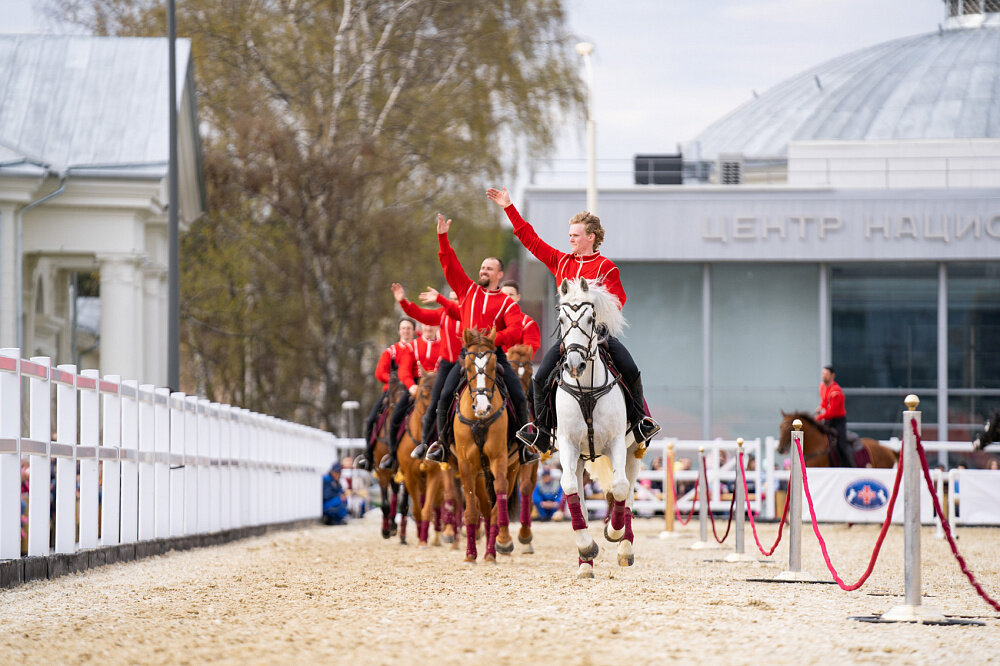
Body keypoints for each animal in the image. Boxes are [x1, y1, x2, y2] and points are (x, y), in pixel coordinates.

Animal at [452, 326, 516, 560]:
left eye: (493, 366)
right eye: (468, 367)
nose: (482, 407)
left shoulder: (499, 458)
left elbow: (500, 495)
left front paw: (504, 540)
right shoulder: (465, 465)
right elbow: (471, 510)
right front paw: (470, 554)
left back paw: (493, 549)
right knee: (485, 507)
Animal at [556, 274, 640, 576]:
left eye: (591, 318)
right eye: (561, 319)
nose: (574, 364)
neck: (587, 390)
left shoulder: (616, 443)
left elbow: (619, 487)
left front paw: (614, 533)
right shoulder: (568, 445)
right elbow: (570, 489)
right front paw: (586, 549)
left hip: (633, 451)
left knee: (628, 490)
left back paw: (625, 547)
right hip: (580, 459)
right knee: (579, 497)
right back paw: (585, 565)